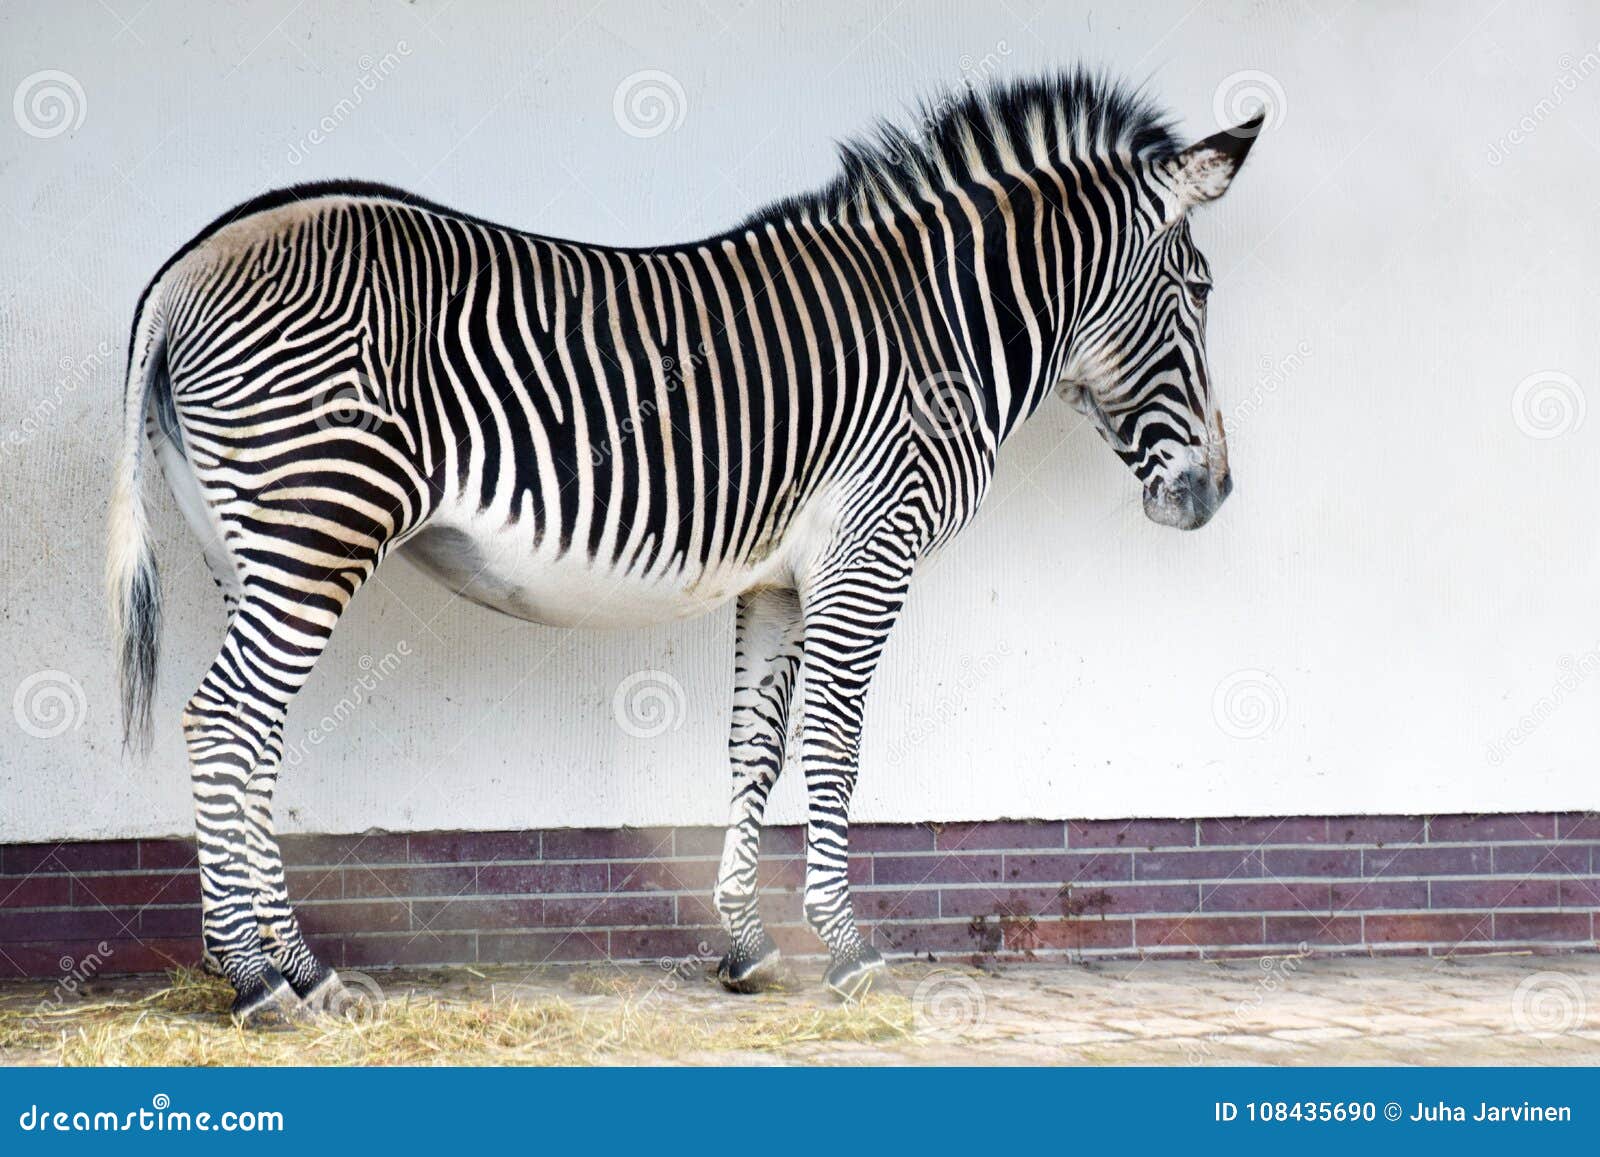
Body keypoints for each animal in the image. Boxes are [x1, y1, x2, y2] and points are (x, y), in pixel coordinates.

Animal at [107, 72, 1260, 1024]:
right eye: (1201, 289)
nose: (1213, 493)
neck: (942, 328)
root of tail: (192, 257)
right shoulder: (870, 549)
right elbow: (835, 749)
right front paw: (848, 952)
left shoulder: (780, 579)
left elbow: (758, 747)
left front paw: (747, 948)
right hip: (319, 522)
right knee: (222, 721)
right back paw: (256, 981)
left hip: (250, 548)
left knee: (255, 734)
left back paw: (302, 970)